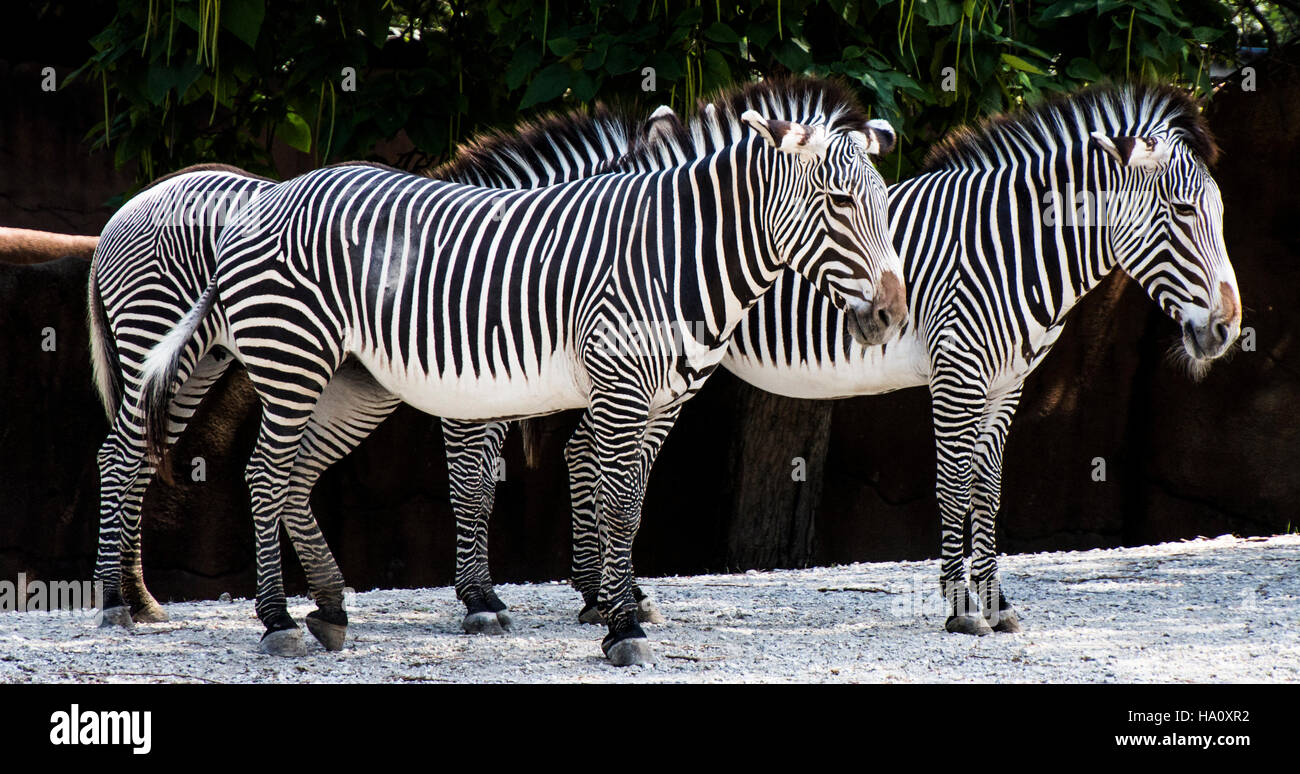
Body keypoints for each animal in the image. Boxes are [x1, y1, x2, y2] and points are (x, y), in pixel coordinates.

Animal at [125, 78, 908, 665]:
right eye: (840, 203)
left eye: (880, 201)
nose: (893, 315)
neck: (674, 257)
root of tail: (264, 199)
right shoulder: (604, 390)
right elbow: (578, 495)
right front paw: (612, 623)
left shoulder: (659, 399)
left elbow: (629, 503)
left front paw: (617, 602)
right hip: (290, 358)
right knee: (264, 473)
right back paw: (276, 620)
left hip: (349, 384)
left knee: (293, 476)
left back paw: (329, 607)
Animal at [569, 83, 1241, 635]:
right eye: (1183, 213)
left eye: (1221, 214)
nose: (1227, 328)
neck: (1013, 248)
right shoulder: (958, 369)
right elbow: (954, 483)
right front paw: (961, 609)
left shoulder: (1007, 384)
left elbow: (988, 489)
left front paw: (996, 604)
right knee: (596, 456)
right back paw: (608, 599)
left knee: (588, 451)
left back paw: (606, 595)